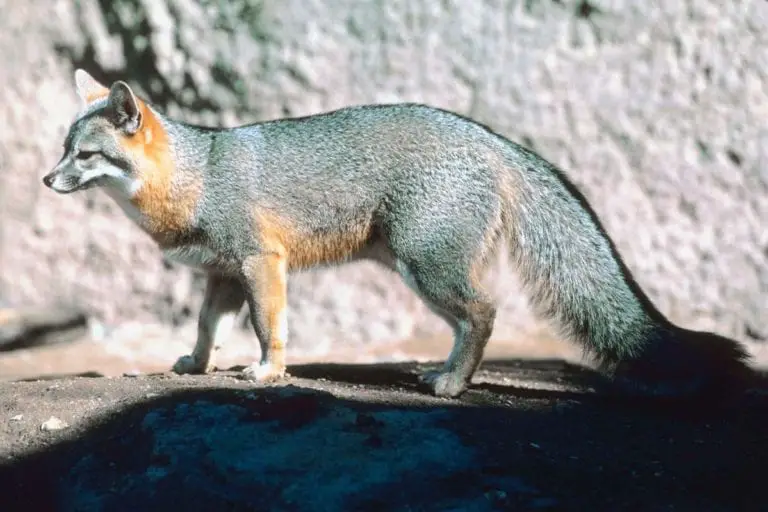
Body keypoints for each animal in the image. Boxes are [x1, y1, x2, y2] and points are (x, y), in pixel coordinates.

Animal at [41, 69, 751, 398]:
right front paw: (195, 363)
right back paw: (446, 373)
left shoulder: (260, 260)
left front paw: (269, 371)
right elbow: (205, 325)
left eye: (84, 156)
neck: (197, 175)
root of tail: (494, 140)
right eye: (63, 149)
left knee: (484, 313)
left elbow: (269, 326)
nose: (46, 180)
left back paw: (452, 384)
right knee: (474, 318)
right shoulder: (222, 272)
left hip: (426, 268)